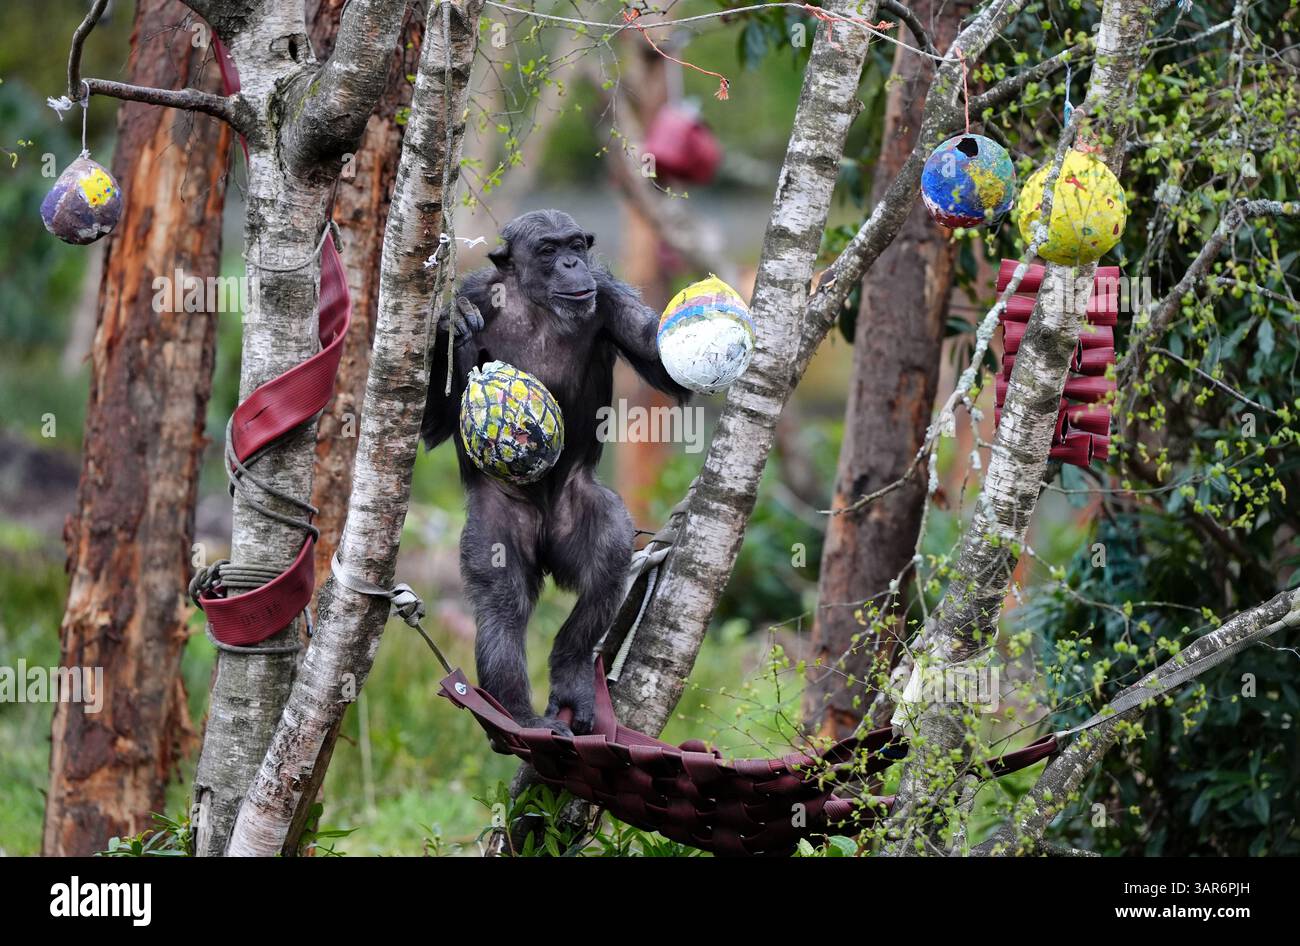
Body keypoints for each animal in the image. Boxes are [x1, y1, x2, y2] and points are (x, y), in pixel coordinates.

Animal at [421, 210, 689, 741]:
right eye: (548, 250)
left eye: (575, 246)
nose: (569, 263)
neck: (536, 303)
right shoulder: (481, 291)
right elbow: (436, 421)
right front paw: (450, 322)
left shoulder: (609, 295)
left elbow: (661, 360)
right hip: (498, 523)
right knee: (502, 600)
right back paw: (517, 715)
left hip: (577, 514)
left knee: (607, 560)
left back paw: (571, 677)